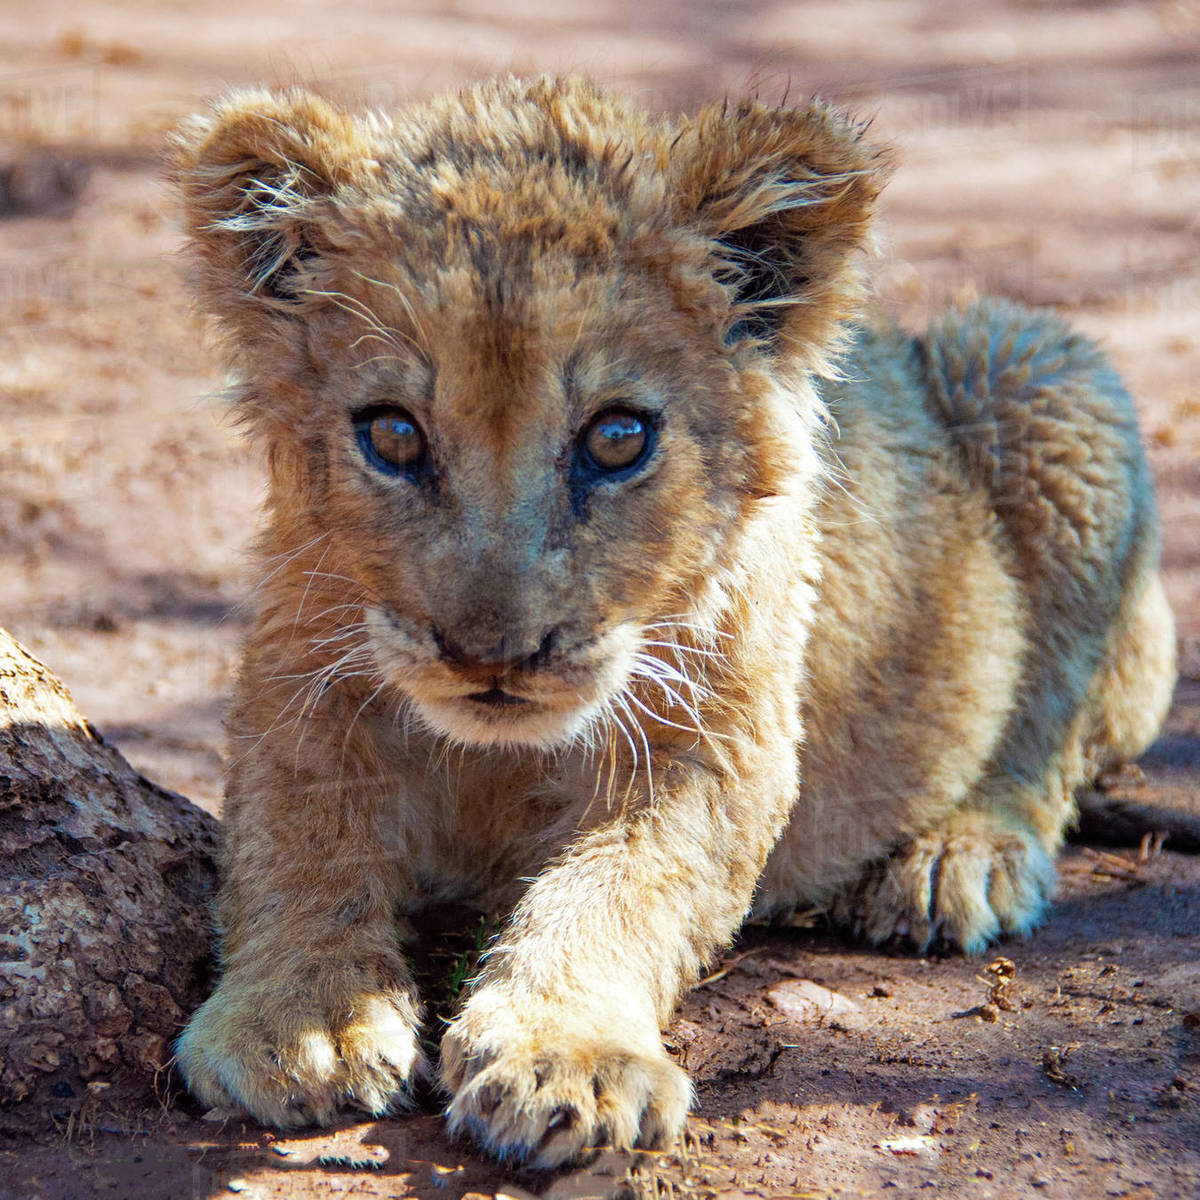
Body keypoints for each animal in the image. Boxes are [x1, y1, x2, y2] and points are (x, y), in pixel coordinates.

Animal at [171, 76, 1176, 1167]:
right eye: (392, 434)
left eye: (618, 438)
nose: (492, 655)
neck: (493, 762)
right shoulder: (299, 689)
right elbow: (291, 849)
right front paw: (300, 1022)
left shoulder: (721, 746)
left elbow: (622, 888)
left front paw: (564, 1055)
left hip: (1034, 366)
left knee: (1054, 725)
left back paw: (961, 861)